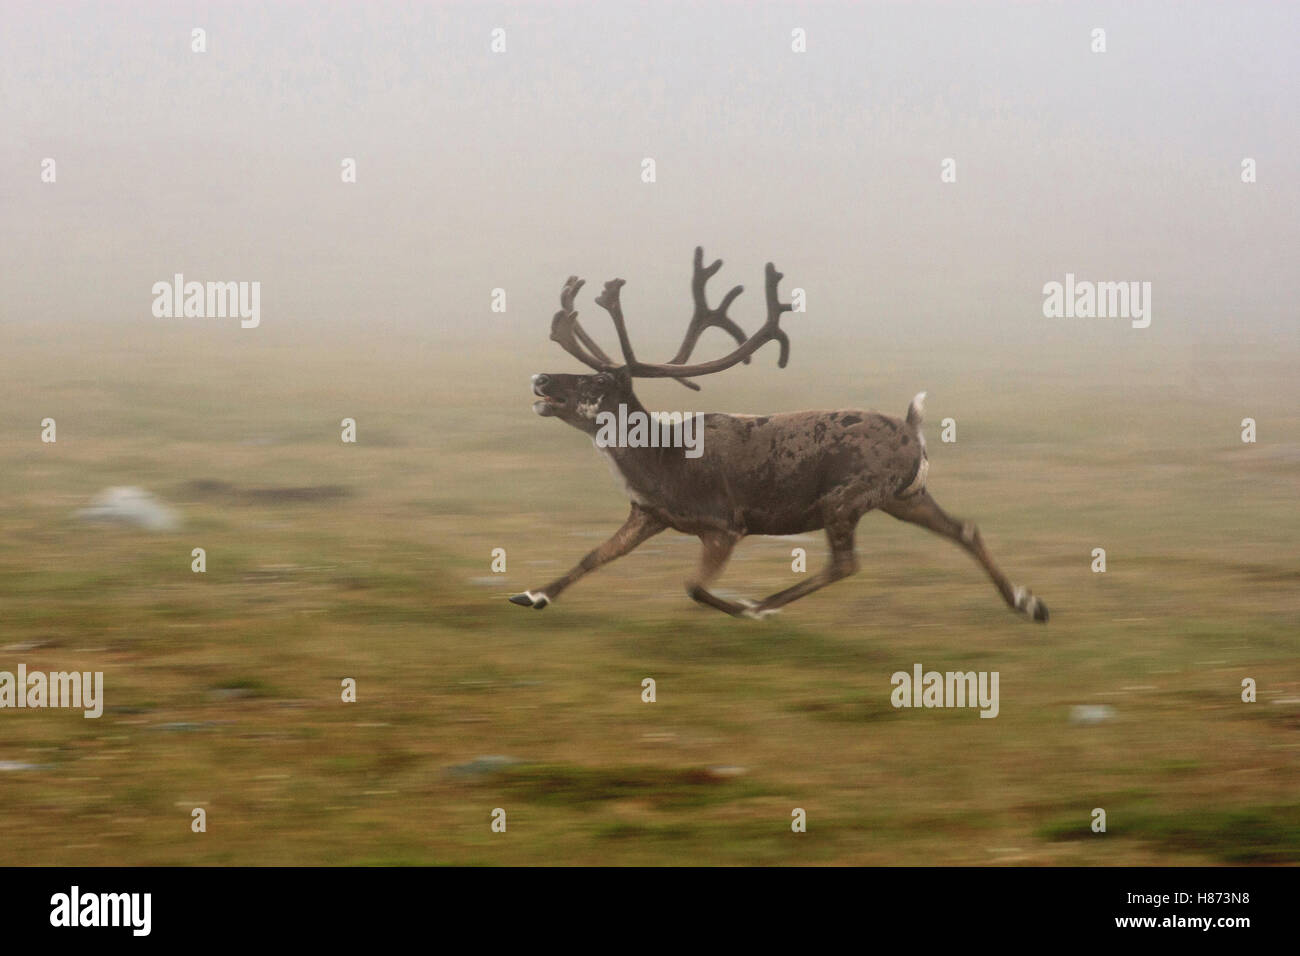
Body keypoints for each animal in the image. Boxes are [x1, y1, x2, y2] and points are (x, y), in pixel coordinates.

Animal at [510, 247, 1049, 623]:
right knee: (964, 528)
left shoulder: (723, 524)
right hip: (904, 495)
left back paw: (765, 602)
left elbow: (692, 586)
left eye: (597, 383)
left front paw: (748, 609)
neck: (662, 461)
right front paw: (532, 593)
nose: (541, 378)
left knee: (847, 563)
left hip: (846, 499)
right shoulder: (648, 513)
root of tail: (914, 430)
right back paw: (1028, 603)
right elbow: (594, 555)